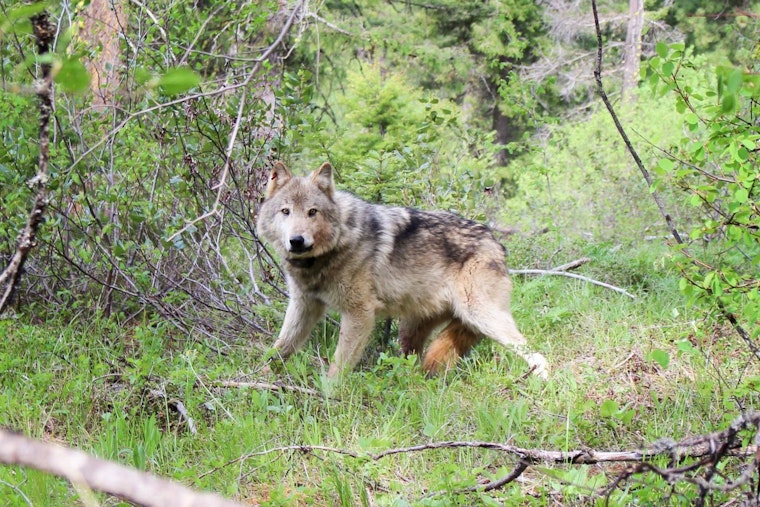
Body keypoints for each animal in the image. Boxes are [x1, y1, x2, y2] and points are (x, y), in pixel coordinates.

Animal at [256, 162, 548, 379]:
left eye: (312, 212)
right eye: (285, 211)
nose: (296, 240)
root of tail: (496, 242)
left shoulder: (360, 313)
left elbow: (338, 366)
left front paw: (329, 396)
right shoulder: (304, 306)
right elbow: (279, 348)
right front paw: (258, 380)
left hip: (481, 316)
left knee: (536, 354)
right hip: (412, 331)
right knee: (414, 364)